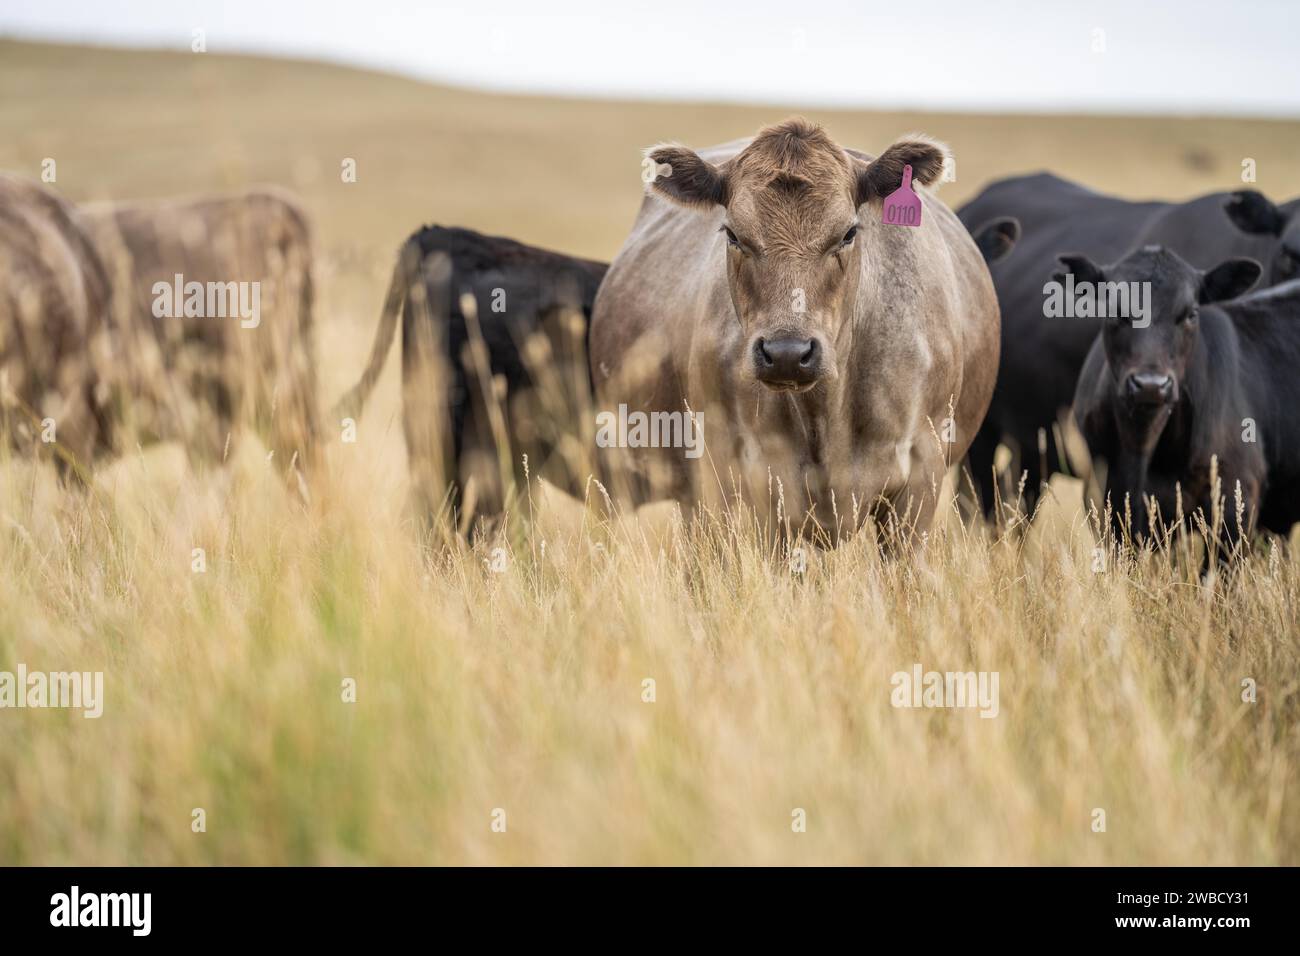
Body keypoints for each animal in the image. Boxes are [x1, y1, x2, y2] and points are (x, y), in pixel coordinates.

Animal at [588, 118, 1001, 546]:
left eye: (849, 233)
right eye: (733, 235)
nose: (787, 353)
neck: (825, 415)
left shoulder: (920, 482)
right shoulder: (737, 482)